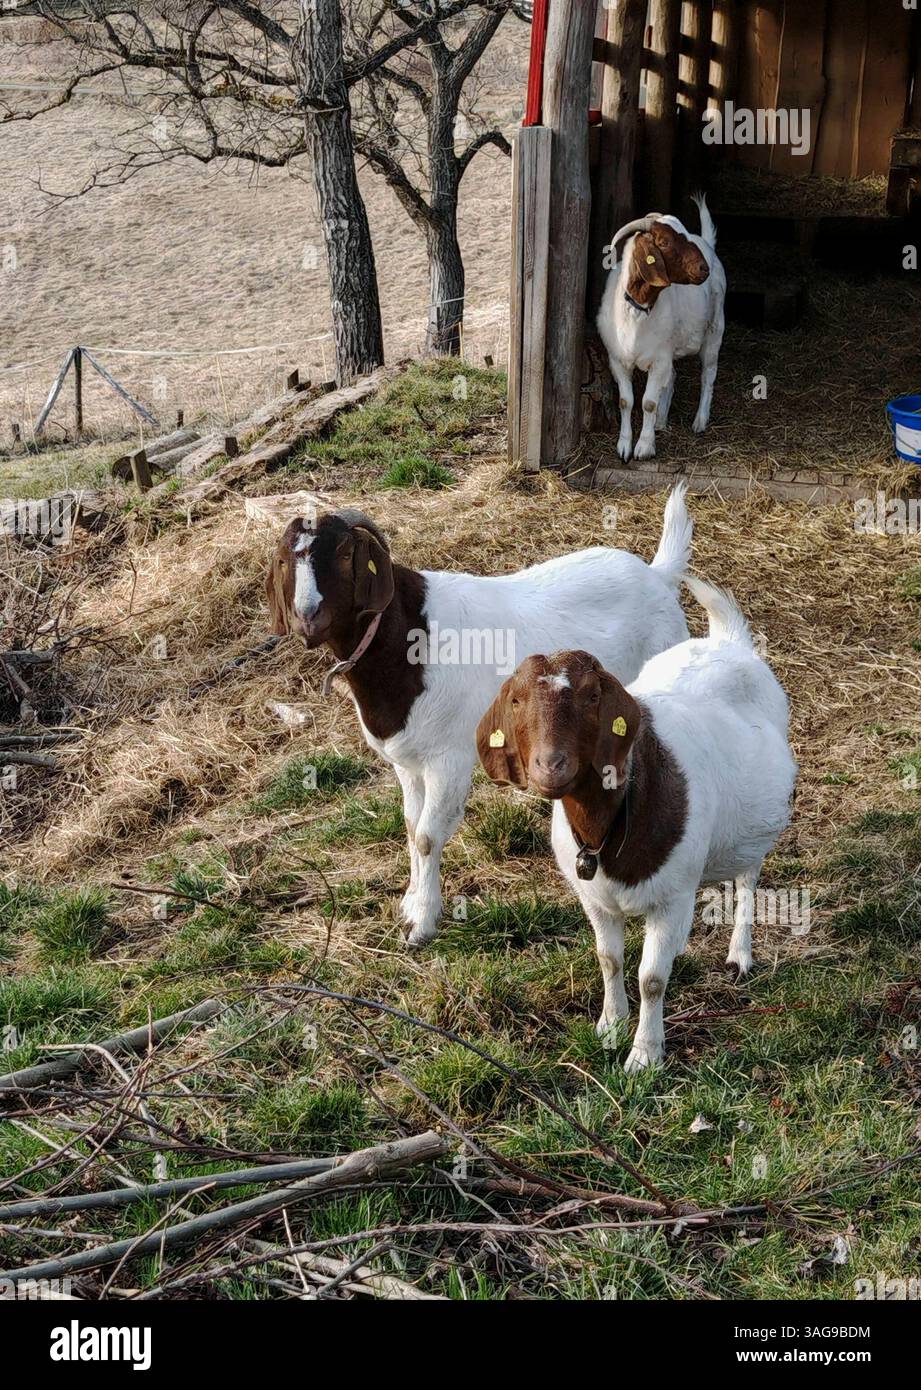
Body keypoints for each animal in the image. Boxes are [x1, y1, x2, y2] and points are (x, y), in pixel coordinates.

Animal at [265, 488, 694, 949]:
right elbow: (410, 826)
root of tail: (658, 575)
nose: (308, 616)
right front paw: (410, 902)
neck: (410, 641)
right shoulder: (408, 762)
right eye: (283, 560)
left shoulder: (447, 758)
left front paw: (422, 923)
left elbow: (426, 836)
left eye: (346, 553)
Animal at [476, 577, 797, 1071]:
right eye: (516, 699)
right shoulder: (595, 899)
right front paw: (610, 1027)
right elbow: (609, 959)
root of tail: (728, 640)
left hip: (751, 831)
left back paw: (739, 955)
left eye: (593, 697)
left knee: (747, 881)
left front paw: (645, 1055)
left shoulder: (670, 899)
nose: (550, 766)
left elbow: (652, 978)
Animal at [597, 195, 726, 463]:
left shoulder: (658, 359)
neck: (638, 312)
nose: (704, 269)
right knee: (673, 376)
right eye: (664, 242)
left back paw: (700, 421)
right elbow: (626, 401)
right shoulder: (618, 359)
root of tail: (708, 245)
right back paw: (661, 422)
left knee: (708, 374)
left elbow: (648, 402)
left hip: (714, 331)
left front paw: (644, 447)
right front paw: (624, 447)